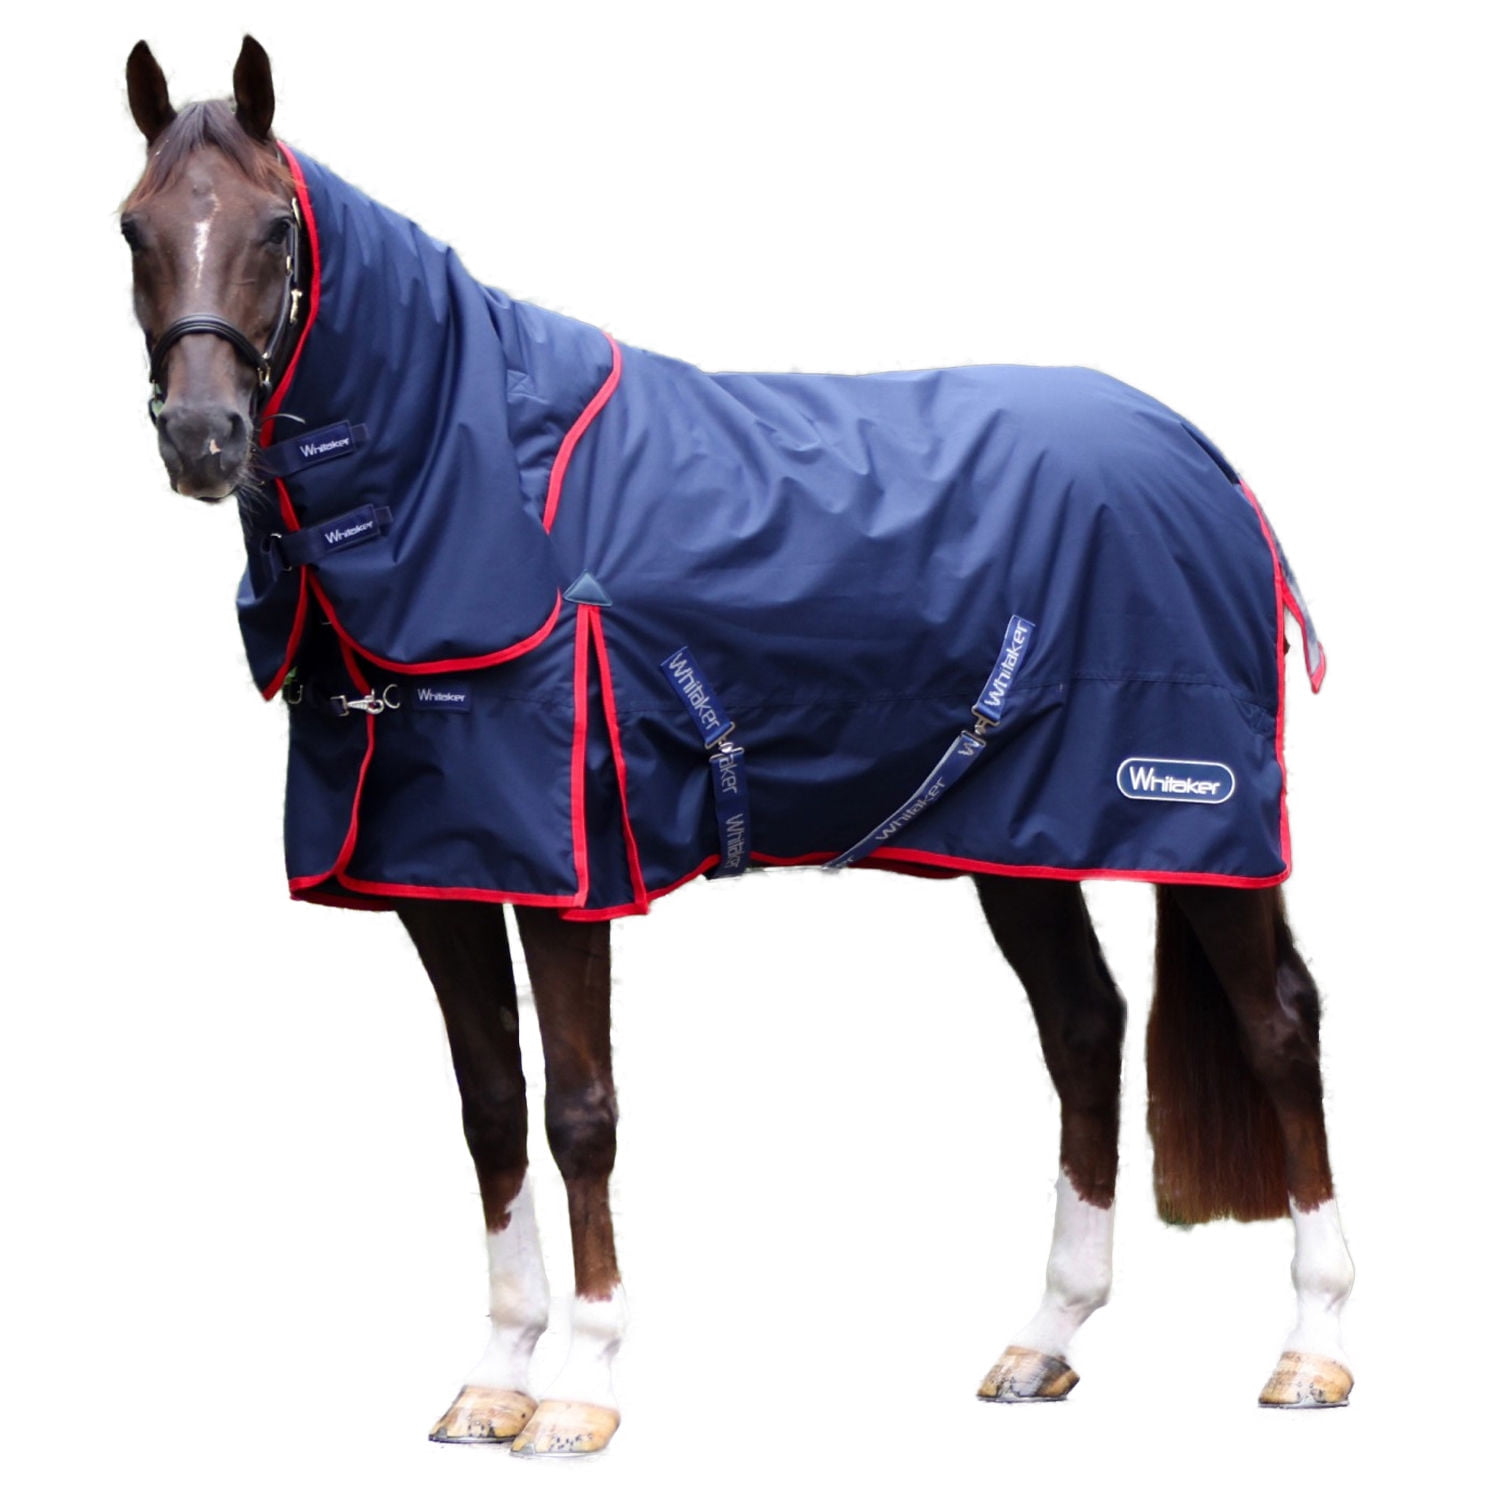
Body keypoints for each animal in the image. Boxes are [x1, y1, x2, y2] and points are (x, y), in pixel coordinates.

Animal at [119, 34, 1354, 1456]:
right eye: (133, 228)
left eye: (274, 228)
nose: (202, 440)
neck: (479, 492)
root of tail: (1206, 461)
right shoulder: (438, 873)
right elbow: (490, 1113)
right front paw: (494, 1376)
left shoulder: (573, 873)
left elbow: (579, 1114)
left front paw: (583, 1387)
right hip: (1021, 837)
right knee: (1086, 1027)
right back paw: (1045, 1340)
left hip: (1201, 821)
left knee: (1278, 1027)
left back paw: (1314, 1347)